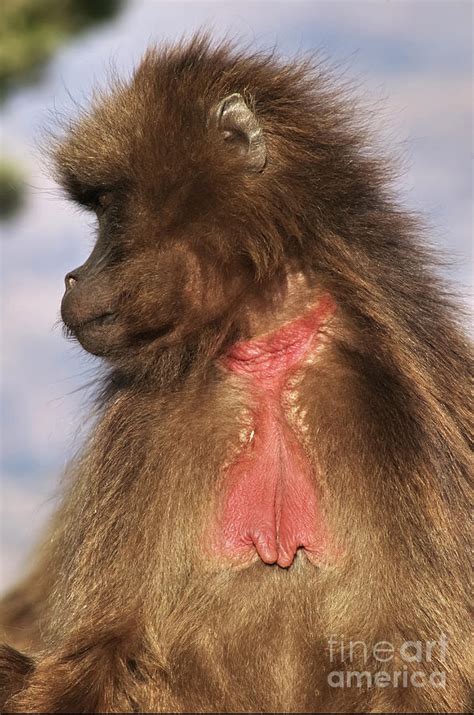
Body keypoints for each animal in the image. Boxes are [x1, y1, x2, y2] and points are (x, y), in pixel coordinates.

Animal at [0, 35, 472, 713]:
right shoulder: (144, 420)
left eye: (108, 209)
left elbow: (416, 663)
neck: (264, 349)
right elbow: (104, 653)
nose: (73, 278)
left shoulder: (404, 417)